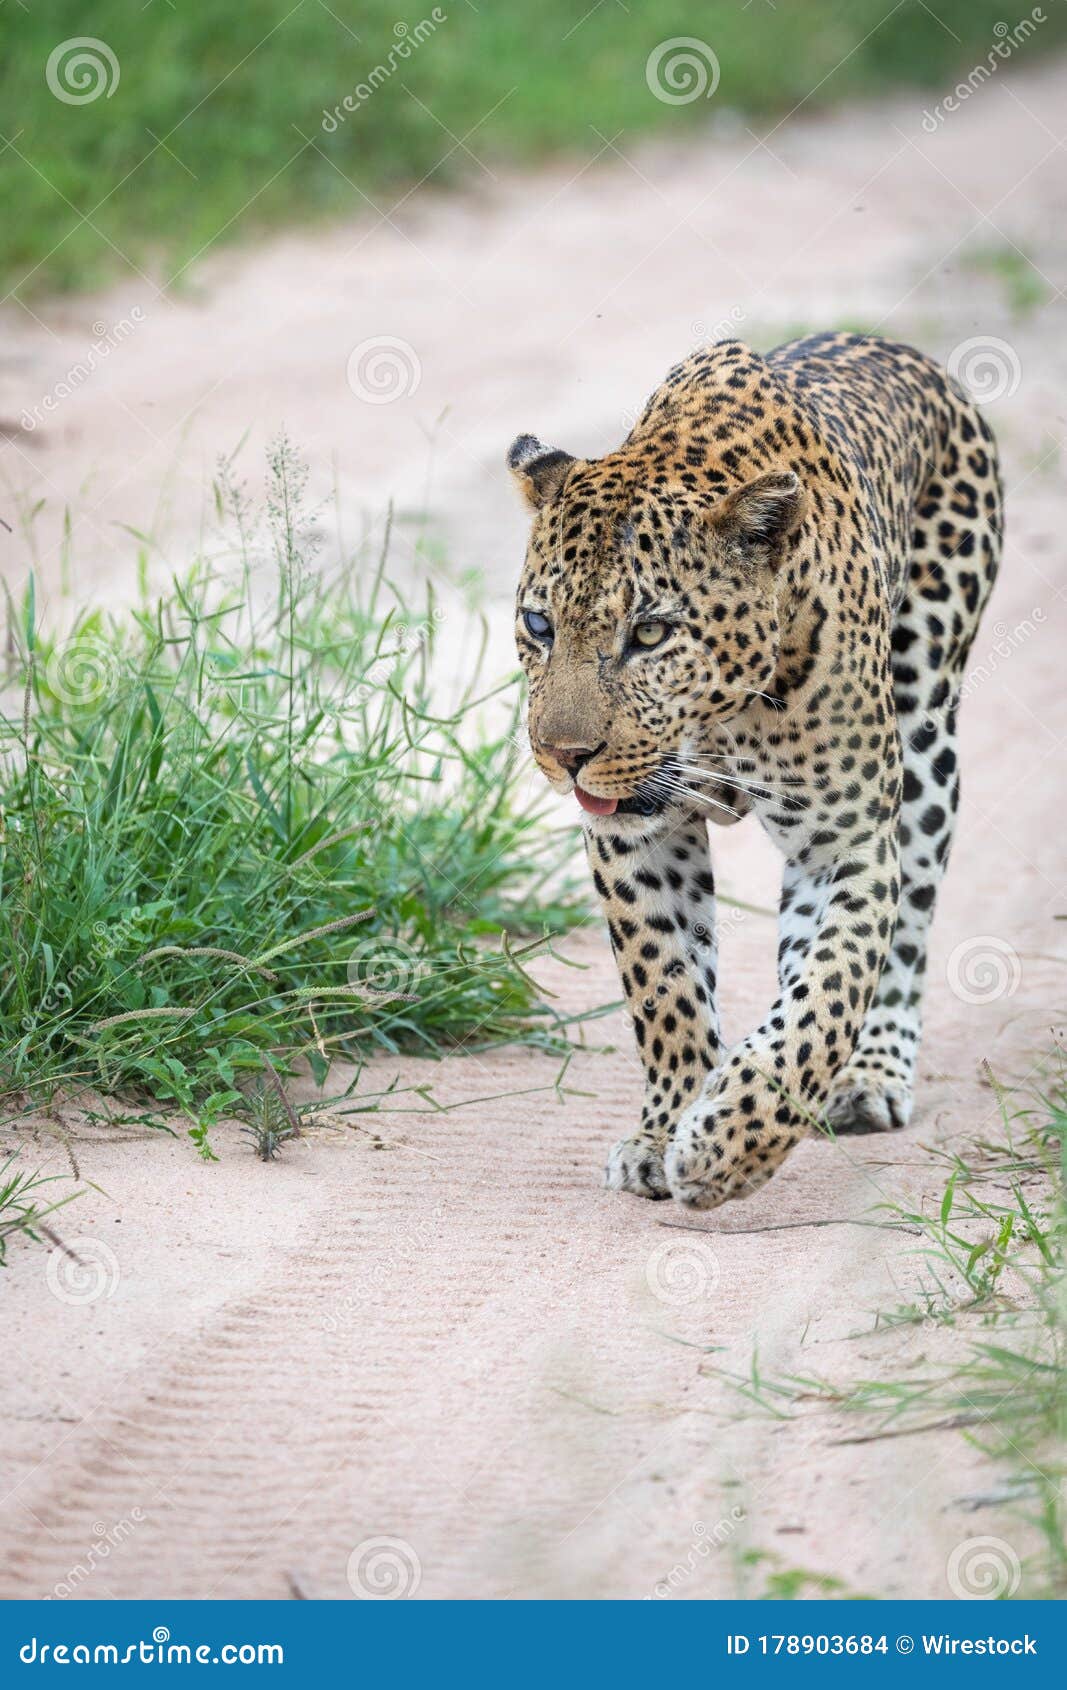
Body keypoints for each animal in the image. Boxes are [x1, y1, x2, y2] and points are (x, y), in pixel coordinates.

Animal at [508, 332, 1002, 1210]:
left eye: (650, 632)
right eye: (538, 624)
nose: (563, 756)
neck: (717, 718)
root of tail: (899, 351)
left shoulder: (847, 843)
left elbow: (827, 998)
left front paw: (727, 1148)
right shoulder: (638, 836)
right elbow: (664, 985)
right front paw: (664, 1131)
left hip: (925, 737)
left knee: (901, 928)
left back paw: (871, 1073)